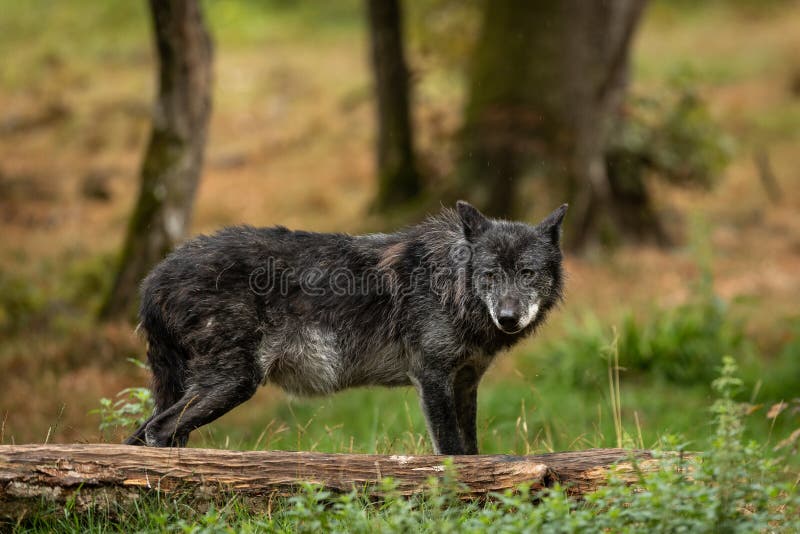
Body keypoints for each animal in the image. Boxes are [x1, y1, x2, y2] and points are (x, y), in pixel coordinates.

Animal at [125, 201, 567, 454]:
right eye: (490, 275)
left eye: (527, 273)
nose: (508, 318)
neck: (448, 284)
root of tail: (153, 278)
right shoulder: (431, 377)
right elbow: (453, 454)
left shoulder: (465, 381)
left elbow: (473, 452)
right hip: (233, 382)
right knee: (158, 432)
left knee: (137, 437)